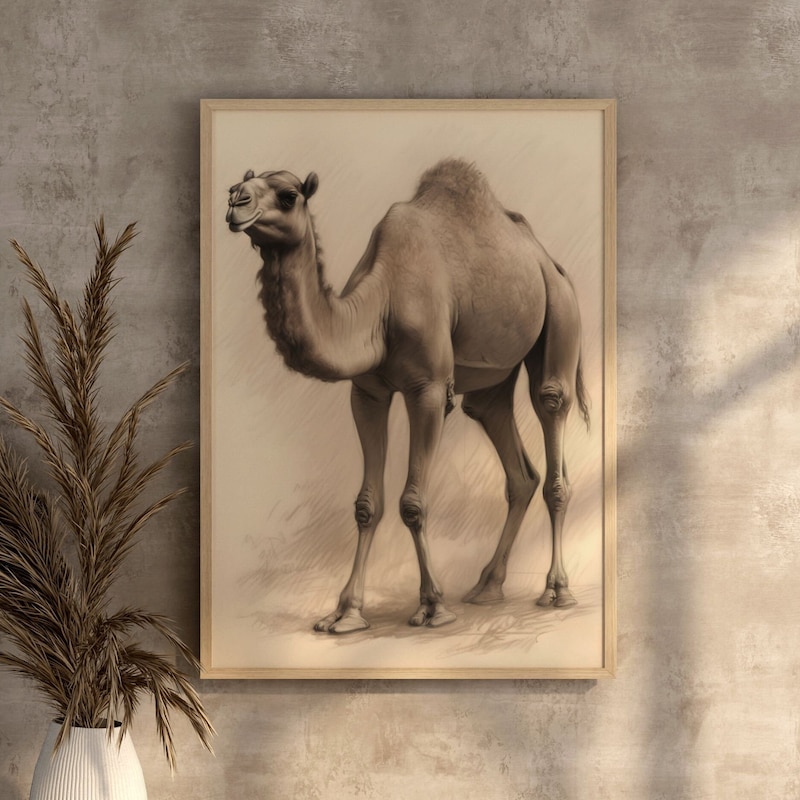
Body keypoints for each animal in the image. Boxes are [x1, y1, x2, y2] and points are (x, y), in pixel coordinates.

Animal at [226, 158, 589, 634]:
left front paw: (433, 606)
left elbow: (413, 503)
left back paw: (556, 591)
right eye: (236, 186)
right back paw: (486, 586)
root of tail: (550, 262)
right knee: (505, 445)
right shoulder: (367, 393)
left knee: (551, 412)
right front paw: (345, 613)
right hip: (492, 375)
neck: (377, 309)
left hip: (561, 313)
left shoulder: (429, 389)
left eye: (289, 196)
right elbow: (367, 505)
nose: (235, 202)